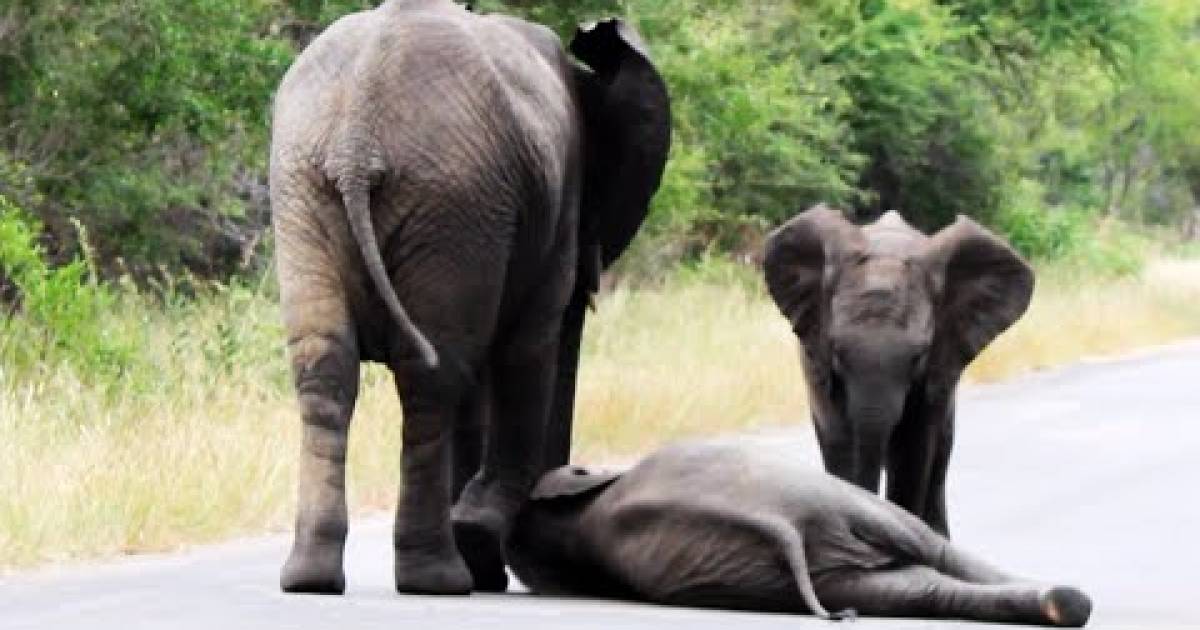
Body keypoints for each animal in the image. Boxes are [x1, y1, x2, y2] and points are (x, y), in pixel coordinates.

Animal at [268, 0, 670, 596]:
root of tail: (357, 139)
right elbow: (530, 352)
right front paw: (481, 549)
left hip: (310, 191)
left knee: (326, 367)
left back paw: (310, 579)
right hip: (448, 200)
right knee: (433, 378)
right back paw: (440, 577)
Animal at [762, 205, 1034, 535]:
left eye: (918, 356)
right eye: (837, 350)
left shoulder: (941, 358)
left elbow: (913, 449)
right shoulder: (819, 362)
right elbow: (842, 443)